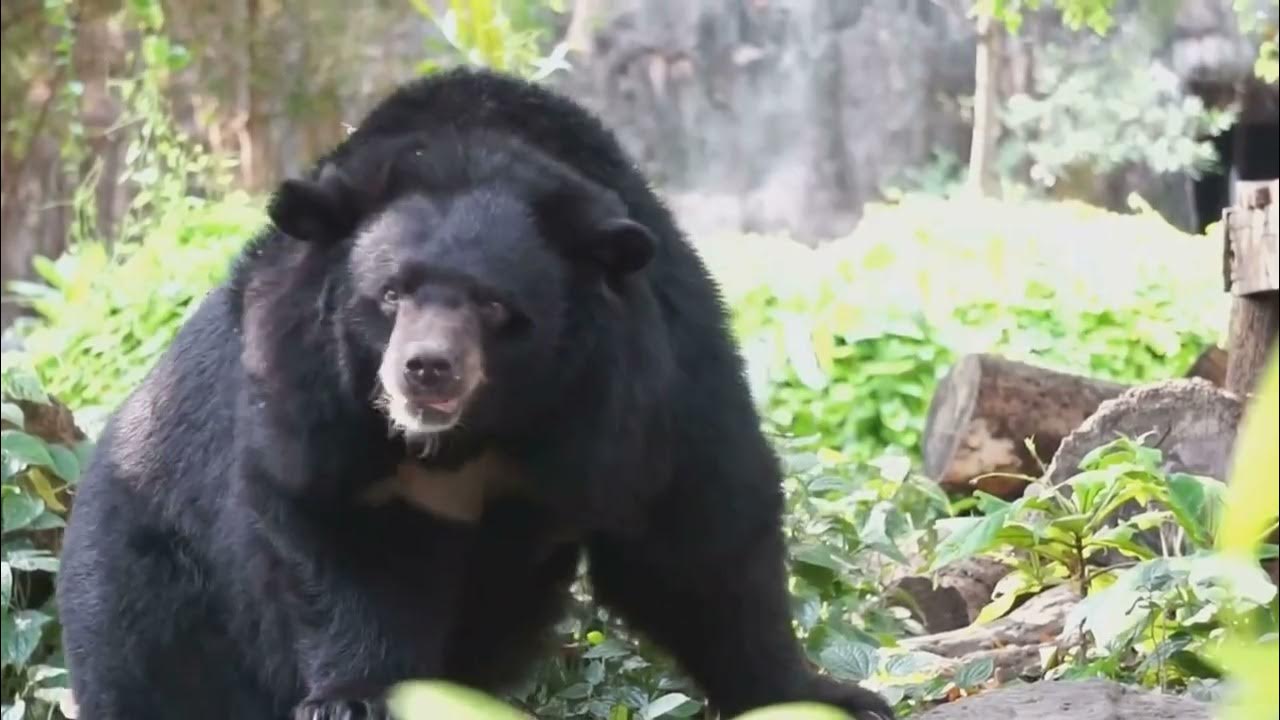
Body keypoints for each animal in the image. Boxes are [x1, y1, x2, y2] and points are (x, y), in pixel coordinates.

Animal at [56, 68, 895, 720]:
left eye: (494, 306)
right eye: (390, 294)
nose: (426, 369)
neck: (468, 438)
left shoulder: (645, 389)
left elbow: (695, 538)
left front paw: (825, 693)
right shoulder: (311, 398)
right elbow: (343, 539)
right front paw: (356, 696)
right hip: (149, 559)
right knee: (151, 662)